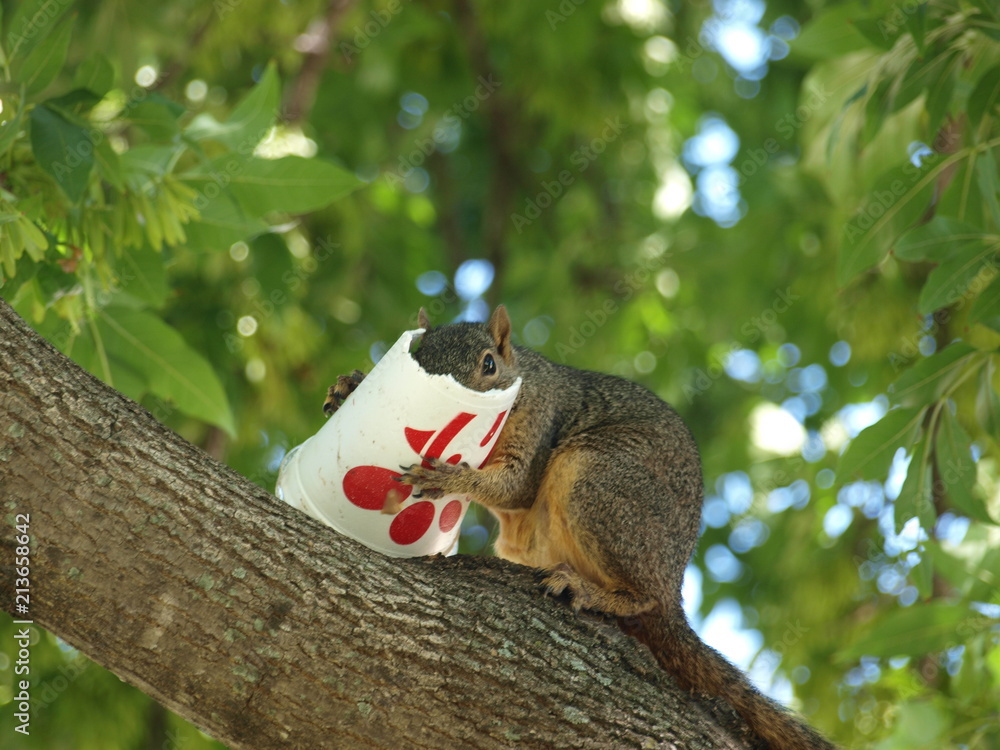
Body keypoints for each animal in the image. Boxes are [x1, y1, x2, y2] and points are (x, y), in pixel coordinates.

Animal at [324, 305, 836, 750]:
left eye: (489, 363)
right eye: (418, 356)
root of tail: (672, 585)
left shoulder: (540, 420)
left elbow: (517, 486)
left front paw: (448, 478)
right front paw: (350, 385)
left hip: (596, 478)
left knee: (641, 596)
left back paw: (592, 591)